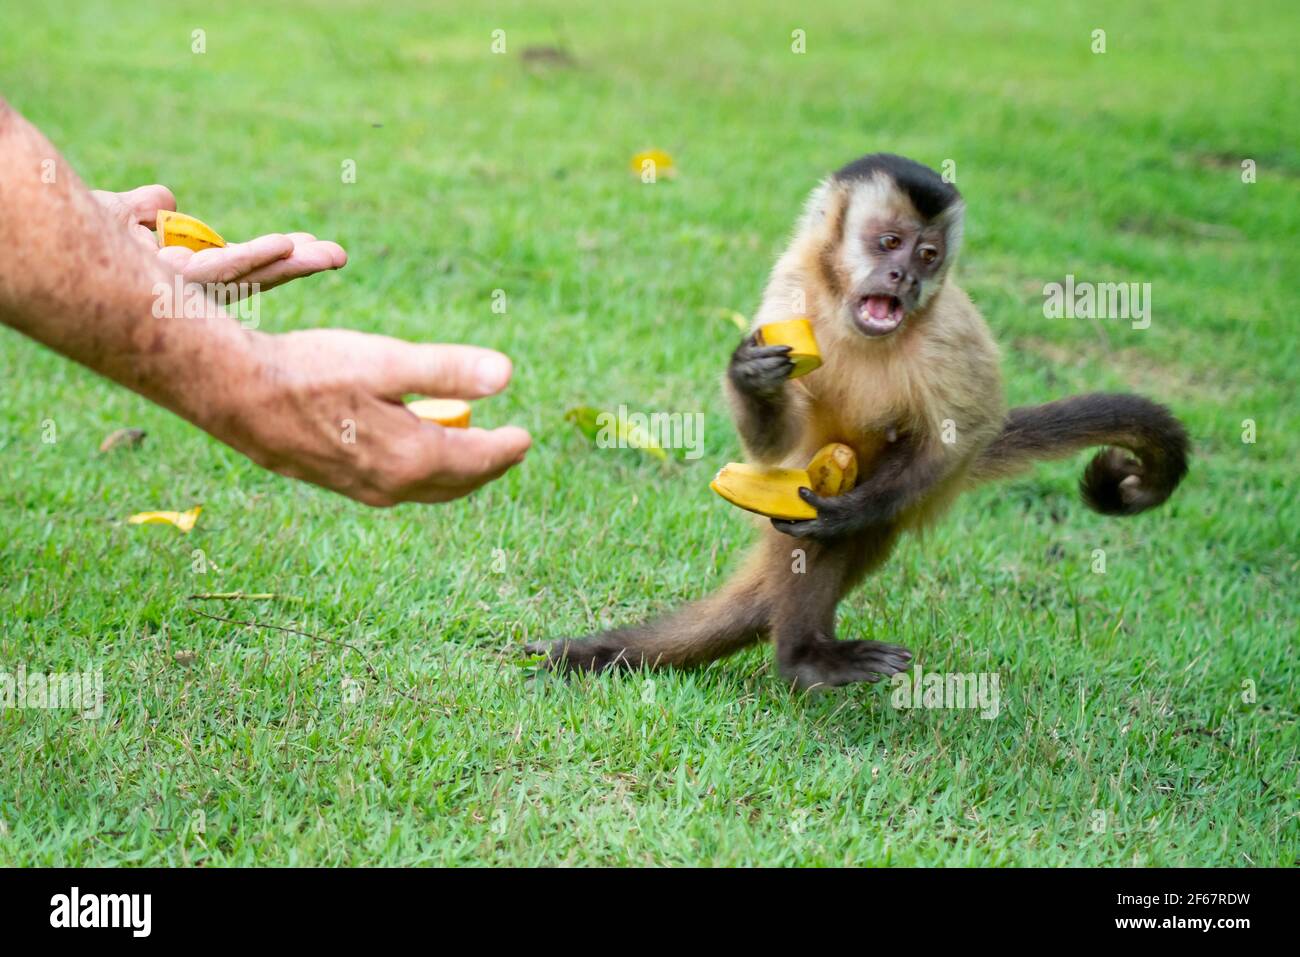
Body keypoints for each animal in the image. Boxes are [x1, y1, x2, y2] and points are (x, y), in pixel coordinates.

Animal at [526, 153, 1189, 690]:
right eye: (887, 242)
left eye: (927, 255)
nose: (905, 277)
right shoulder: (788, 289)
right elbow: (775, 443)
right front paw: (749, 376)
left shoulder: (950, 330)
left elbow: (964, 433)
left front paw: (847, 511)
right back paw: (802, 658)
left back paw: (806, 651)